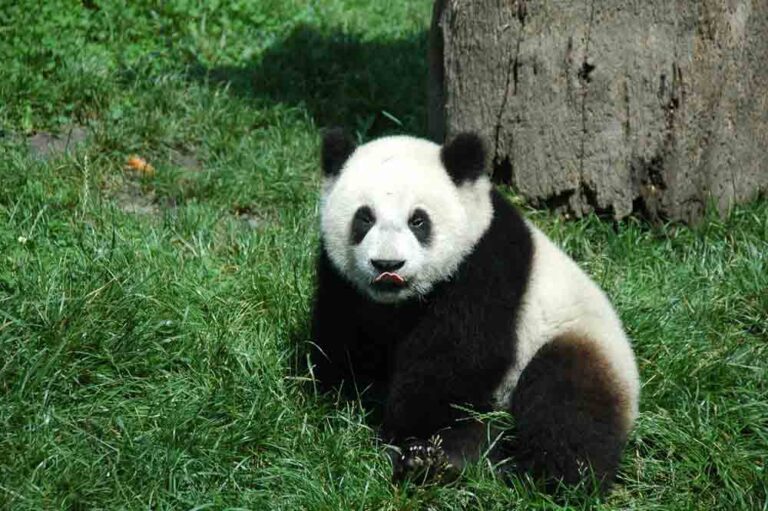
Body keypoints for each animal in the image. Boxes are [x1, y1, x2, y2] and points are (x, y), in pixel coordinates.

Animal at [310, 128, 640, 492]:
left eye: (418, 220)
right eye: (365, 217)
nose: (388, 265)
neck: (399, 301)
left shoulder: (484, 266)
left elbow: (457, 355)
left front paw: (403, 431)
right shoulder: (343, 283)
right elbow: (340, 336)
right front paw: (337, 399)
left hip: (578, 339)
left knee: (565, 403)